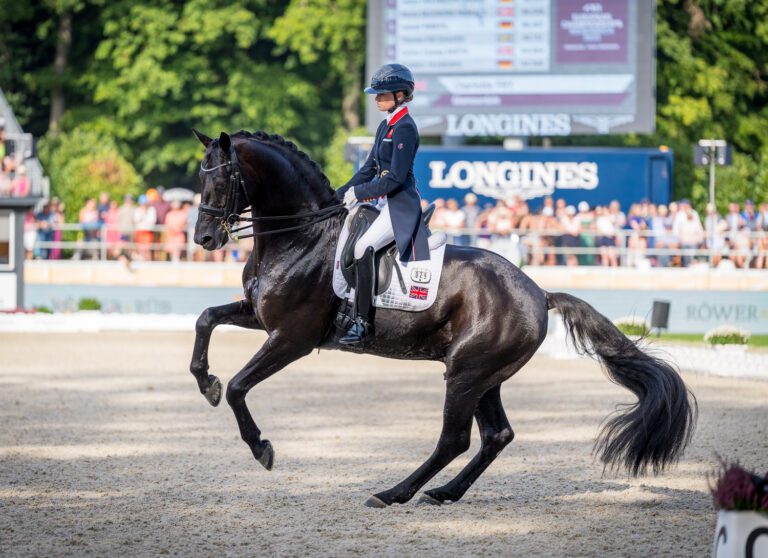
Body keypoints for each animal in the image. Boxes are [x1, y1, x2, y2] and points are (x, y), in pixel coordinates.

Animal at [188, 129, 697, 508]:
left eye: (225, 178)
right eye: (200, 175)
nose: (206, 239)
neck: (301, 236)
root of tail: (538, 291)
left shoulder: (292, 336)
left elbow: (239, 386)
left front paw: (261, 448)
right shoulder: (259, 316)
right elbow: (205, 319)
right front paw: (205, 381)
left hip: (466, 372)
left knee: (454, 439)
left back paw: (393, 493)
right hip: (485, 374)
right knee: (496, 435)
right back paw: (443, 493)